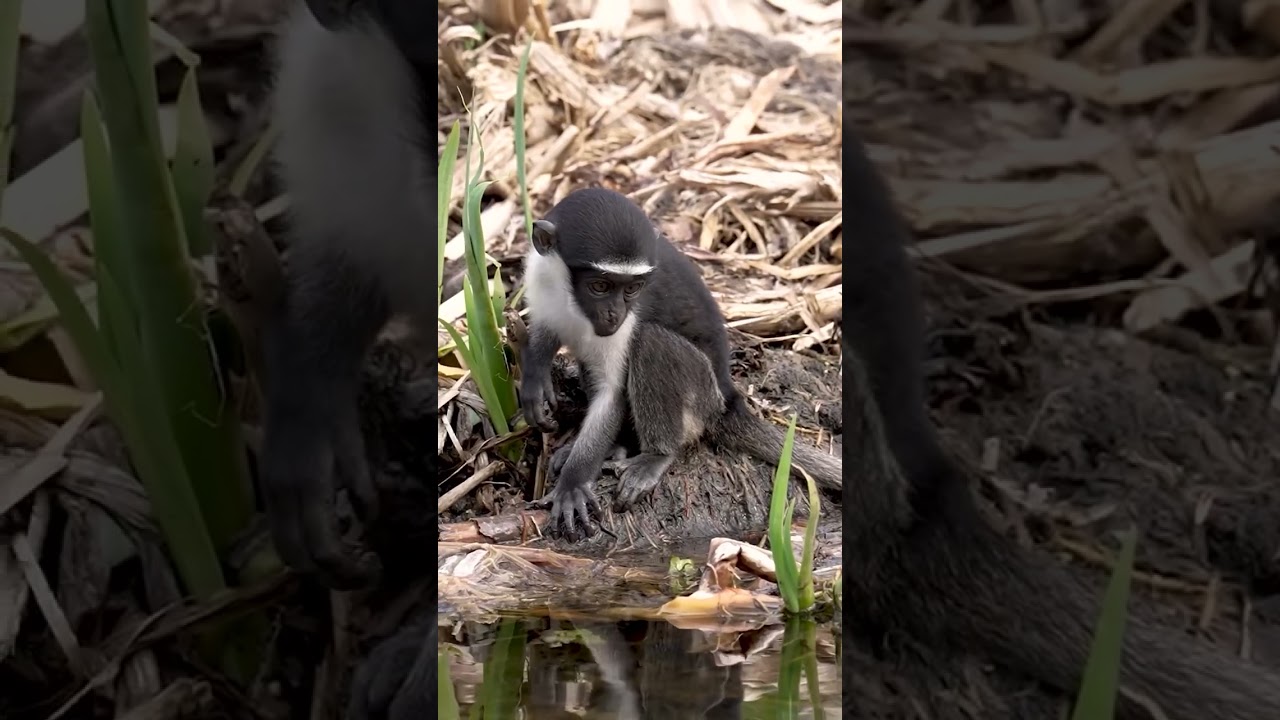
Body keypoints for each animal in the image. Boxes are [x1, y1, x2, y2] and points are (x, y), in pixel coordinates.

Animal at [517, 188, 843, 538]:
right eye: (600, 286)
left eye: (632, 289)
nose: (614, 314)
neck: (574, 304)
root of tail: (729, 401)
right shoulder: (540, 272)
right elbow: (545, 332)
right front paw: (534, 380)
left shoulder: (630, 317)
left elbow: (611, 393)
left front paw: (573, 484)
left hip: (702, 393)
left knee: (651, 340)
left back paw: (655, 456)